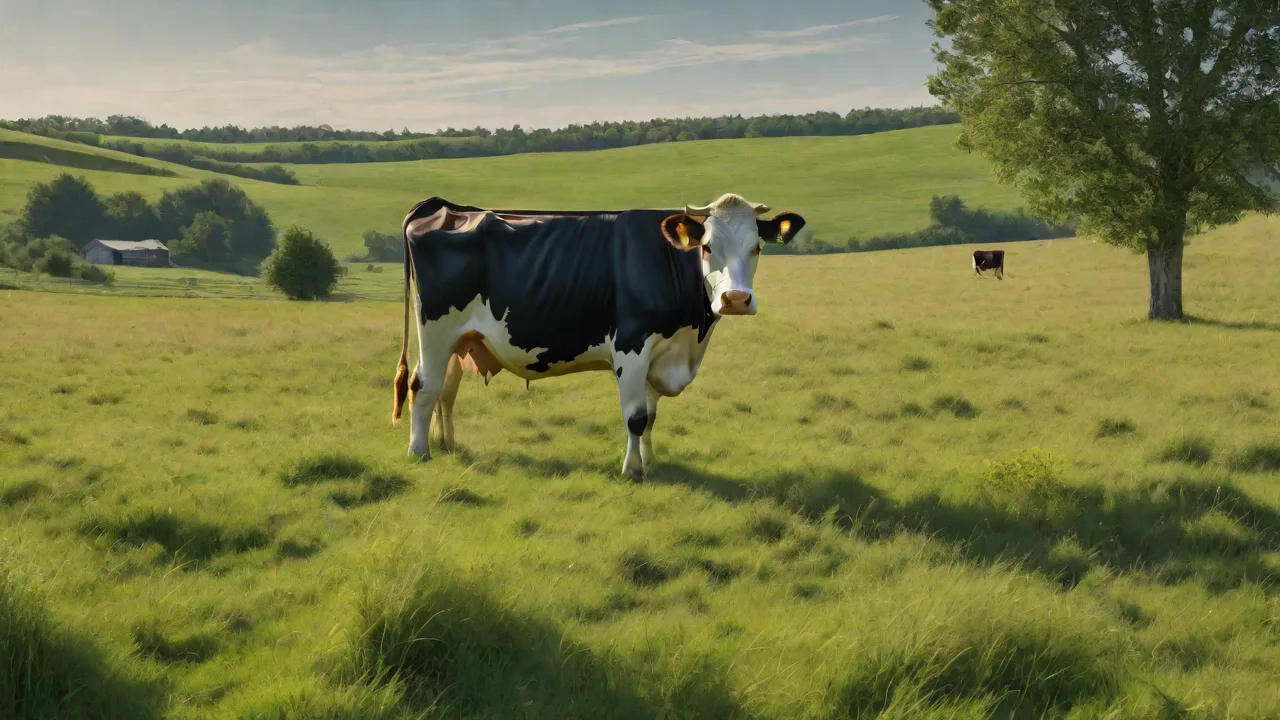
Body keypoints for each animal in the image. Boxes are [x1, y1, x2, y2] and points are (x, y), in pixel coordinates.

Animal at [391, 194, 806, 482]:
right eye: (707, 247)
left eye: (756, 247)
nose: (735, 299)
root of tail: (445, 207)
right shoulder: (632, 345)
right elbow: (636, 416)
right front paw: (632, 471)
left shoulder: (660, 353)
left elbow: (651, 415)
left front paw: (650, 462)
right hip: (435, 329)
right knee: (423, 386)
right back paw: (419, 451)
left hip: (459, 340)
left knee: (446, 391)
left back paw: (446, 444)